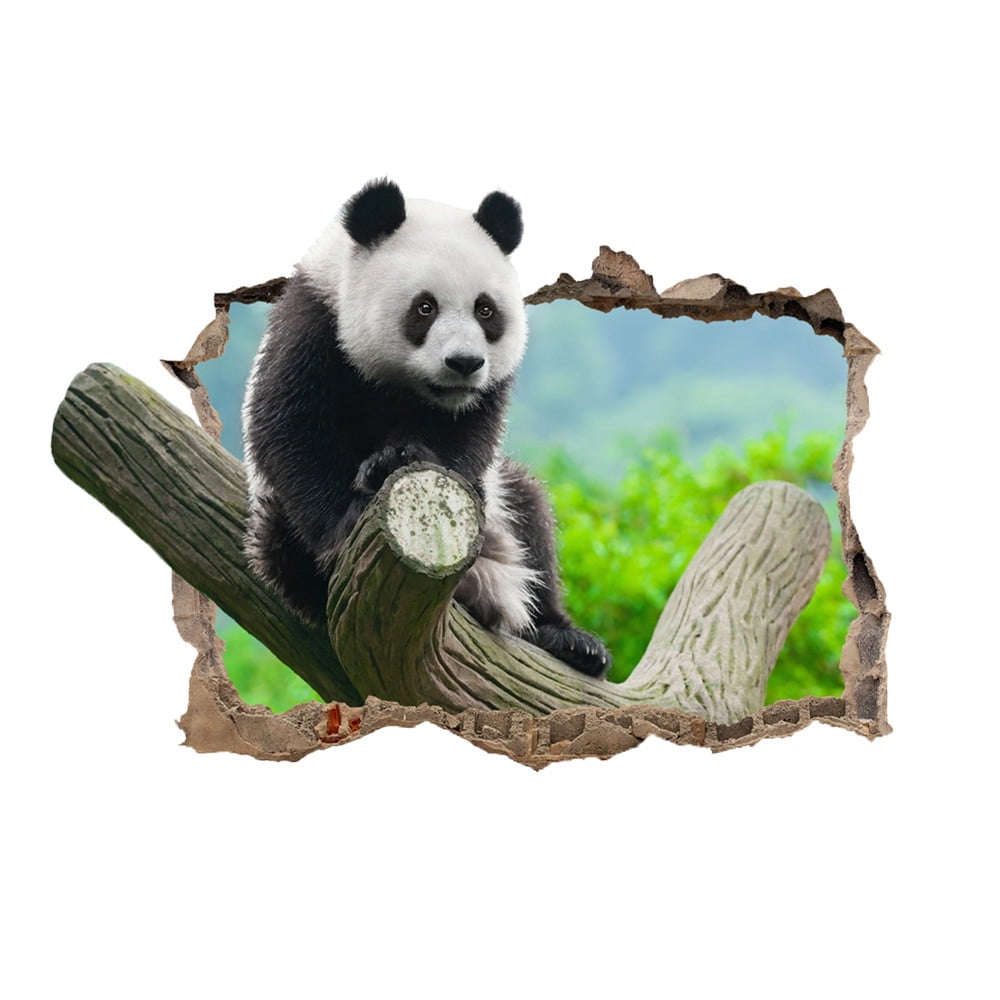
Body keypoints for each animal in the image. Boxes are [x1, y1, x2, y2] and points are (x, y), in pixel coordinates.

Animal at [242, 178, 610, 678]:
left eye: (485, 310)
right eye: (425, 307)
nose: (464, 363)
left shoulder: (481, 398)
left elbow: (466, 438)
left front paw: (399, 457)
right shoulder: (312, 325)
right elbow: (292, 432)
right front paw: (350, 517)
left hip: (501, 514)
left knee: (531, 514)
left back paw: (570, 641)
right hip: (274, 522)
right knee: (278, 542)